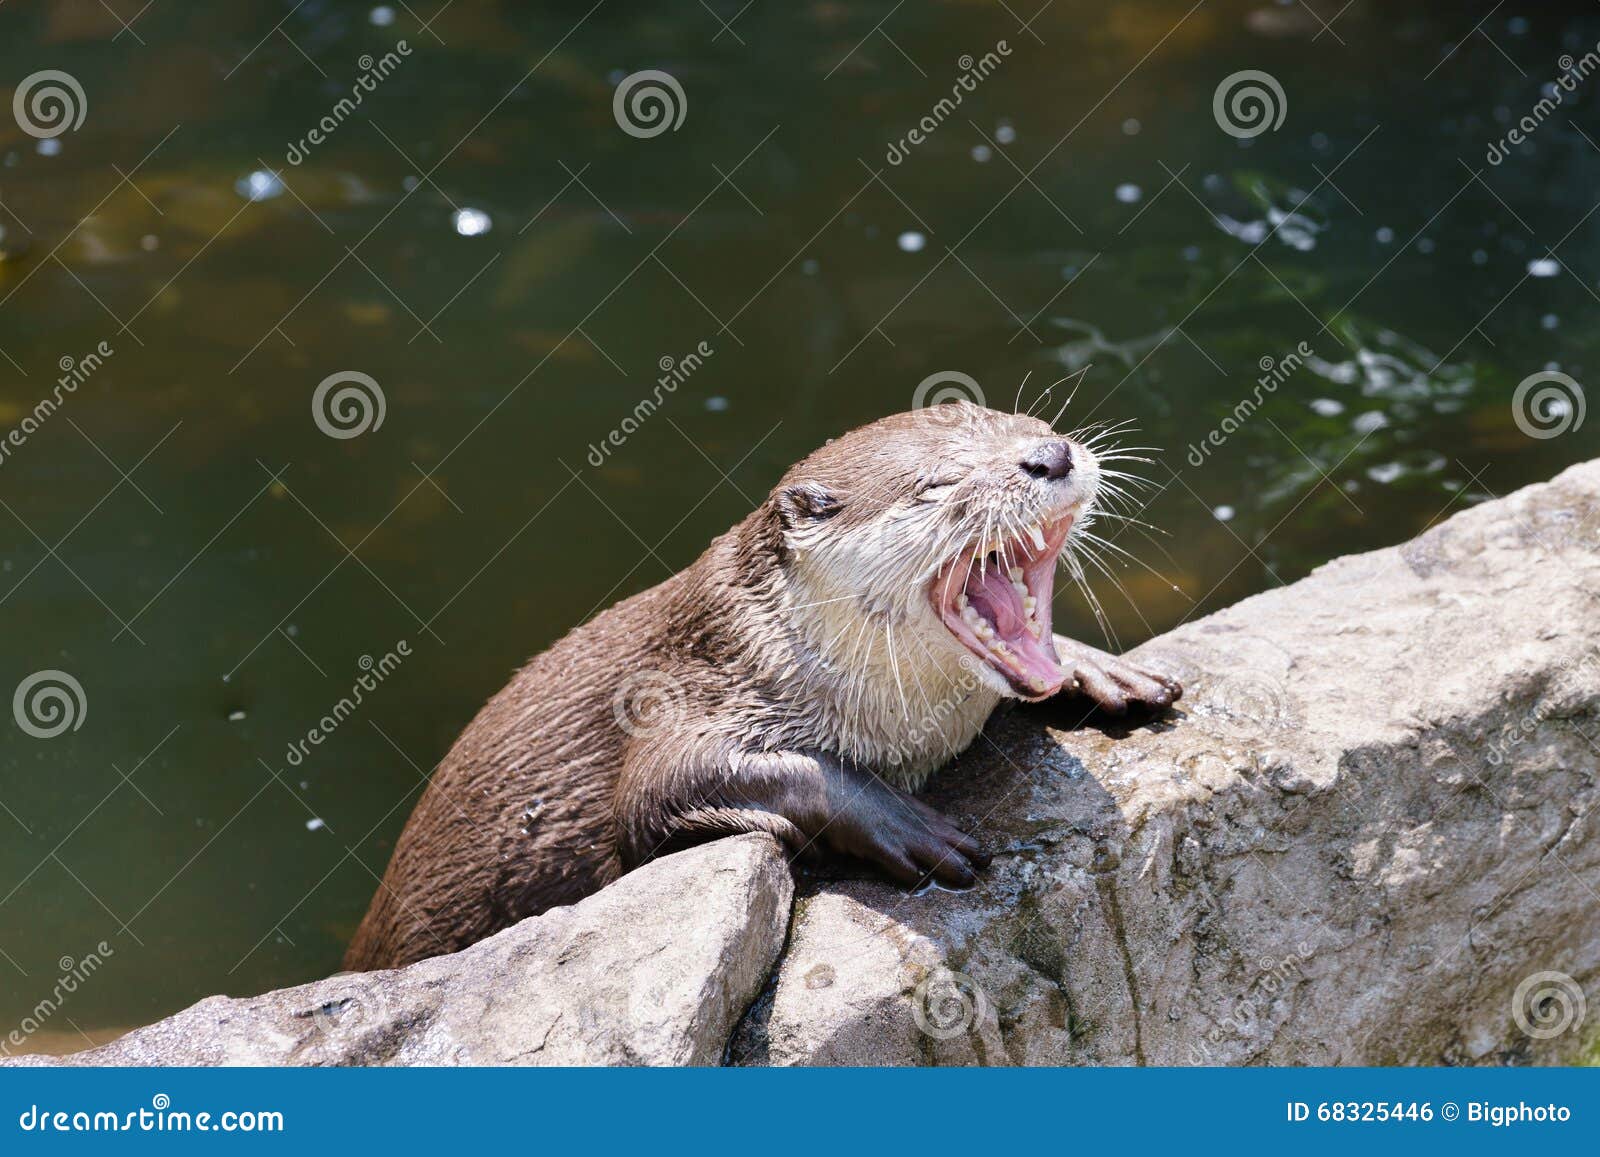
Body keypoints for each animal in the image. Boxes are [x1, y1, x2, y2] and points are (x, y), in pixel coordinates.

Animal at [344, 402, 1180, 971]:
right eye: (935, 484)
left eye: (1028, 421)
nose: (1051, 454)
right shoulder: (675, 697)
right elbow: (659, 791)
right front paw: (906, 823)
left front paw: (1106, 667)